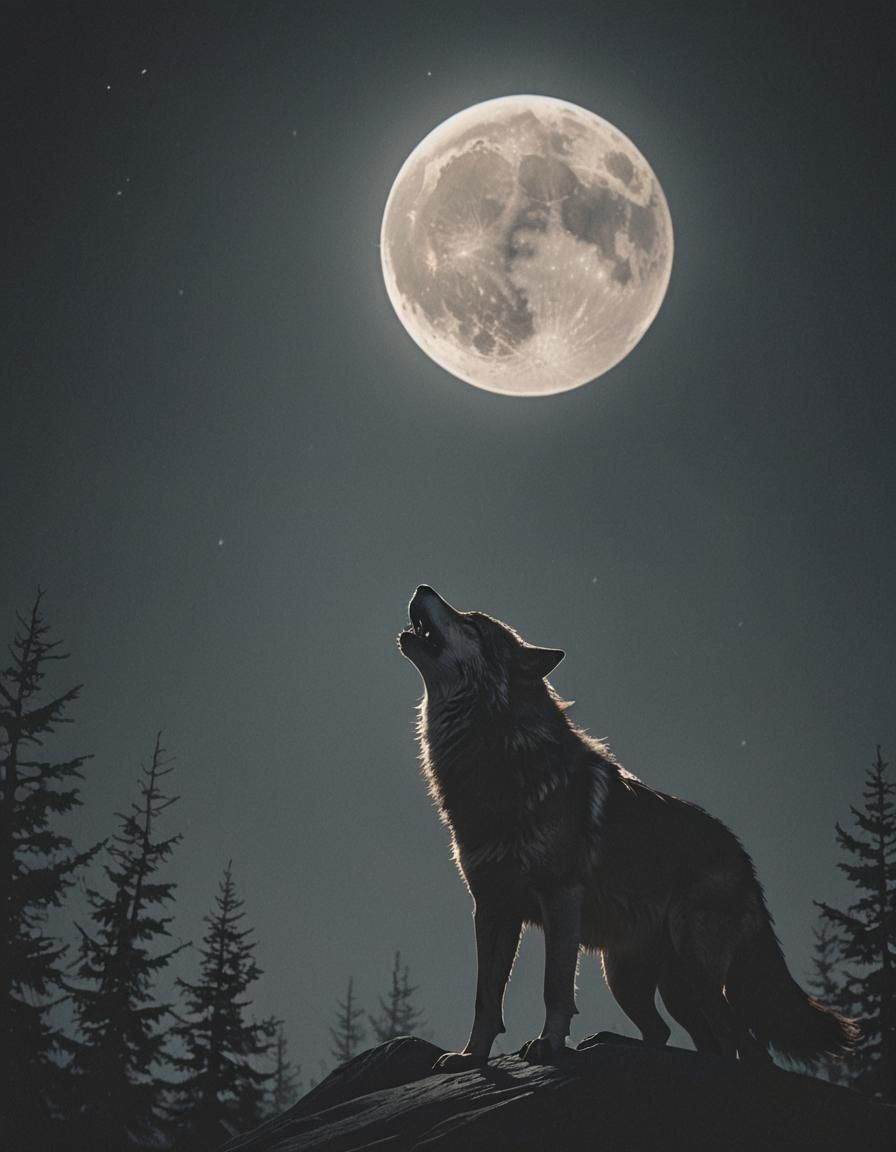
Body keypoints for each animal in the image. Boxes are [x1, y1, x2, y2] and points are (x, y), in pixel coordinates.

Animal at [398, 585, 858, 1071]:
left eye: (470, 623)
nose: (422, 587)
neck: (493, 757)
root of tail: (743, 857)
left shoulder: (560, 896)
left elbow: (554, 987)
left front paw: (548, 1045)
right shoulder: (490, 908)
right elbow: (485, 998)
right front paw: (470, 1056)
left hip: (691, 972)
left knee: (744, 1045)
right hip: (640, 981)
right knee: (677, 1034)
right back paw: (609, 1042)